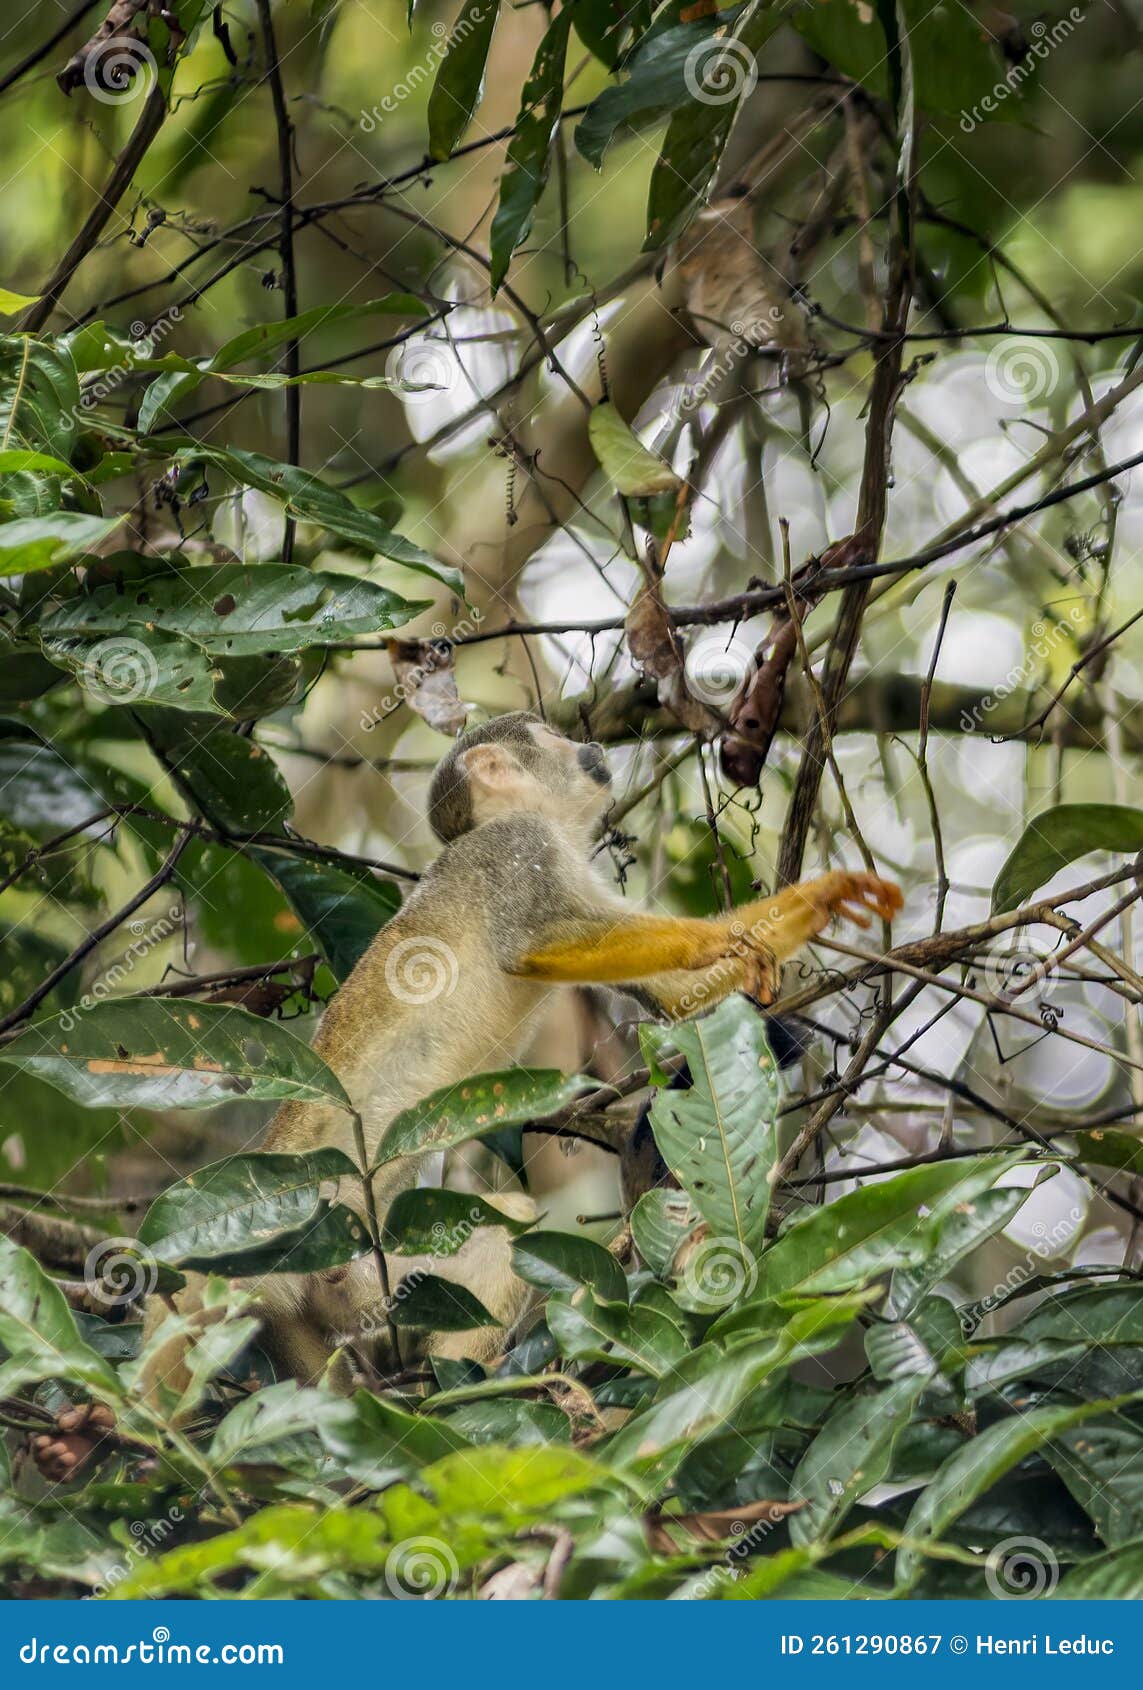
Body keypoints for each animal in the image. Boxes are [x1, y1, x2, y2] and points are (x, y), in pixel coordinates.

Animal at [141, 713, 901, 1406]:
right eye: (550, 736)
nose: (587, 743)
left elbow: (680, 993)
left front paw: (814, 907)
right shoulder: (518, 851)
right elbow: (541, 945)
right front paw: (731, 939)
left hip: (363, 1281)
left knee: (500, 1226)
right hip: (282, 1245)